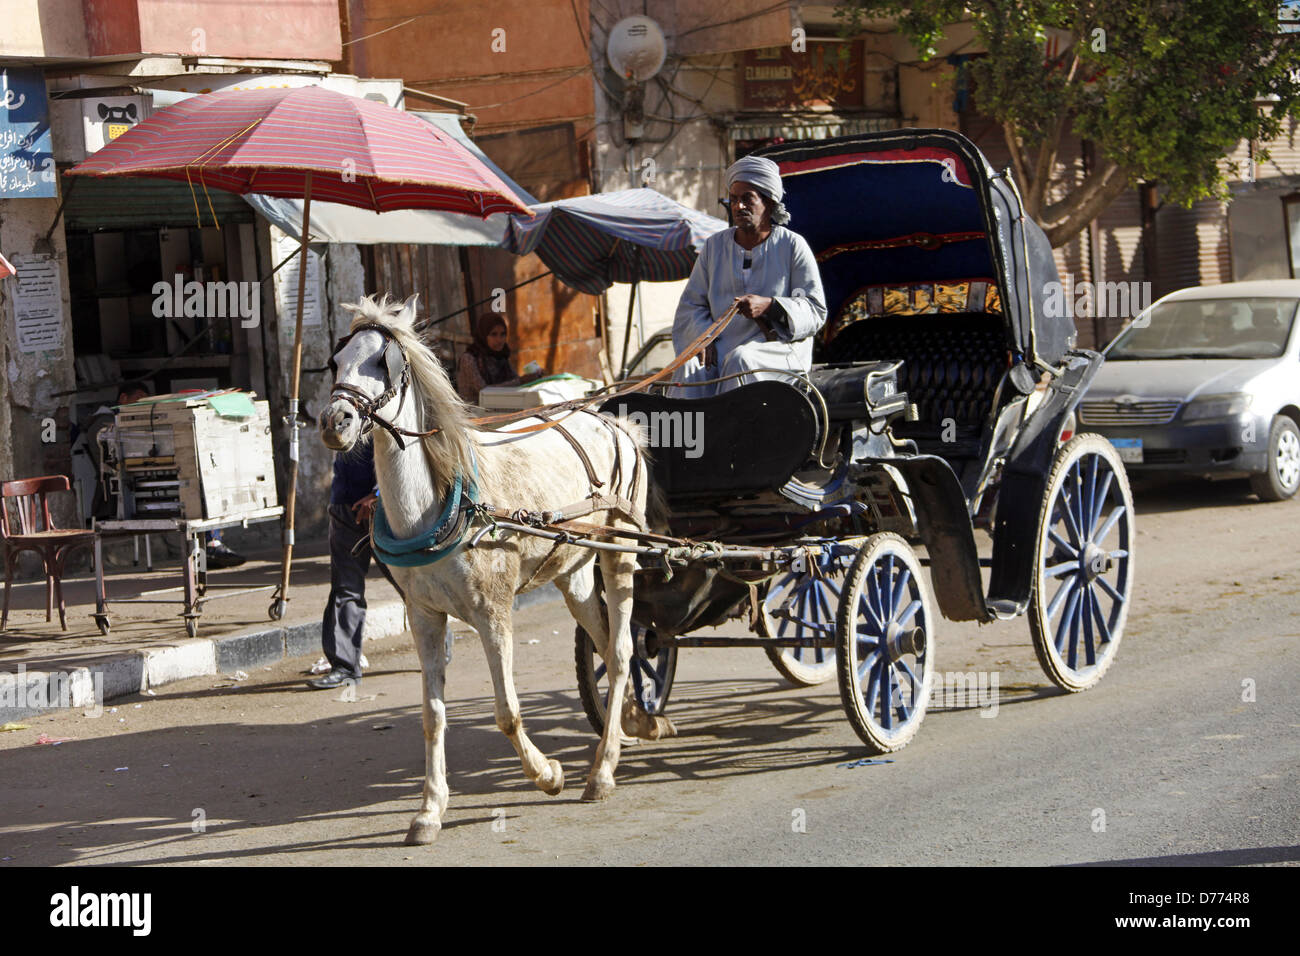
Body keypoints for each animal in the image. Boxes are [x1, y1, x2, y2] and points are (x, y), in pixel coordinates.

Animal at [318, 293, 674, 846]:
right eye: (336, 362)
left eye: (383, 361)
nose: (335, 422)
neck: (441, 505)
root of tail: (614, 422)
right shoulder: (425, 617)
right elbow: (432, 716)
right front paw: (429, 810)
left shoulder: (493, 612)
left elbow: (507, 712)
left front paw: (548, 774)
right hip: (573, 575)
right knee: (606, 646)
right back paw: (639, 721)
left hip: (619, 553)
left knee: (619, 653)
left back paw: (602, 769)